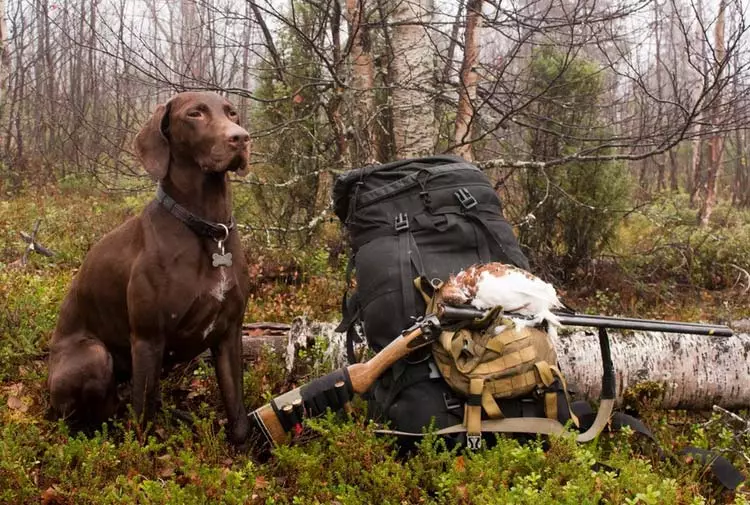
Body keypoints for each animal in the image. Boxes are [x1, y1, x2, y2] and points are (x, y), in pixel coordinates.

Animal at [47, 91, 253, 444]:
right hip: (95, 356)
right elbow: (142, 424)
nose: (240, 138)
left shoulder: (229, 333)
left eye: (232, 112)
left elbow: (237, 414)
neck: (207, 229)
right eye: (195, 113)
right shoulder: (147, 339)